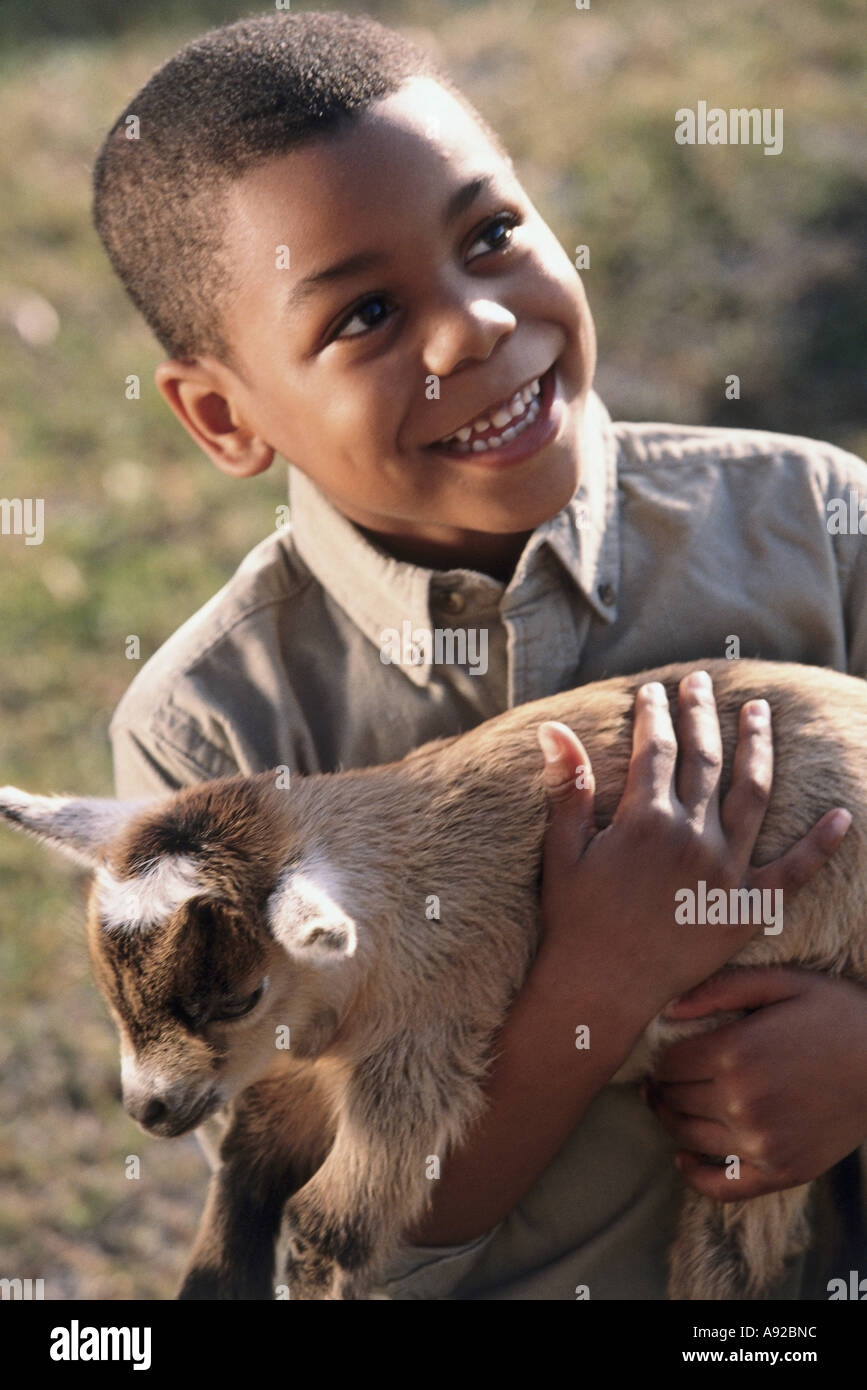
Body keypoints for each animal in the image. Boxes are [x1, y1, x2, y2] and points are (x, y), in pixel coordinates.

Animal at [1, 656, 865, 1300]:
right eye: (110, 991)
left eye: (237, 997)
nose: (149, 1111)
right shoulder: (302, 1066)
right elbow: (250, 1160)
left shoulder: (424, 1044)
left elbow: (330, 1222)